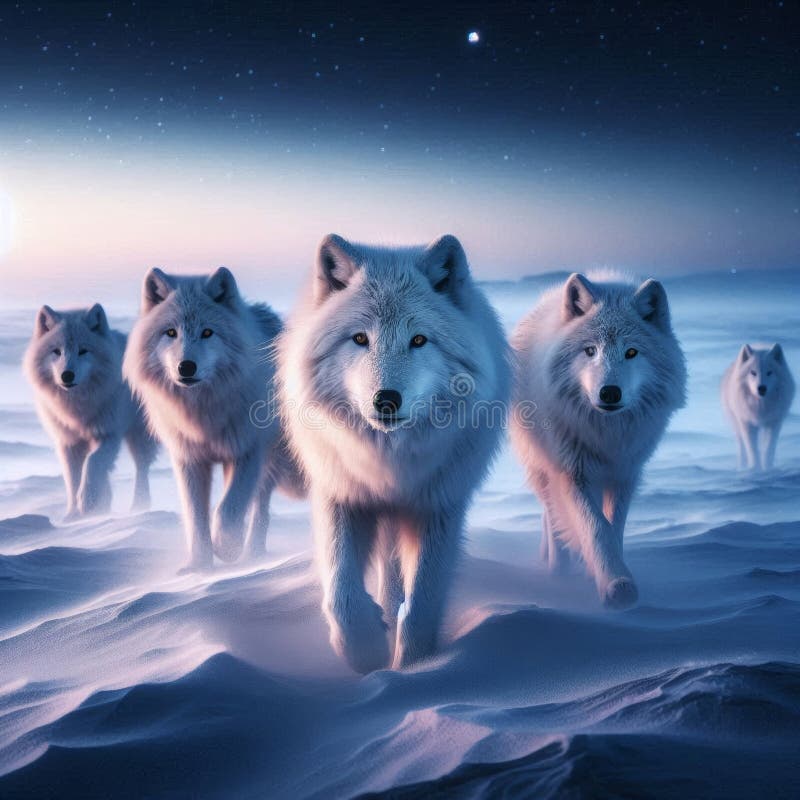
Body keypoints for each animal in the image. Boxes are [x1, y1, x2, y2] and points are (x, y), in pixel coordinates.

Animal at [23, 304, 158, 519]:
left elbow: (93, 463)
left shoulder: (108, 435)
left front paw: (86, 500)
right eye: (56, 351)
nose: (67, 375)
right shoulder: (68, 443)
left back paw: (139, 507)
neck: (78, 408)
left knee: (142, 468)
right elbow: (73, 479)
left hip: (140, 435)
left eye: (83, 351)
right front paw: (73, 515)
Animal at [123, 267, 304, 570]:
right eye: (170, 332)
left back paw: (252, 554)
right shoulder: (189, 459)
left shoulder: (247, 452)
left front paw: (227, 548)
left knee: (260, 507)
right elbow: (196, 516)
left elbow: (229, 508)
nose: (186, 367)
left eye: (207, 332)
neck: (203, 413)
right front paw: (199, 566)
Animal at [278, 233, 509, 673]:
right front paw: (366, 652)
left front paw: (413, 669)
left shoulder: (439, 505)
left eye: (418, 340)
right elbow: (341, 594)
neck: (390, 461)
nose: (385, 400)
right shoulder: (339, 492)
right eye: (360, 338)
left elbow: (423, 604)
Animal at [510, 272, 686, 609]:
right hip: (541, 467)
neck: (606, 433)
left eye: (631, 352)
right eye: (590, 351)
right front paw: (616, 585)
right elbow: (595, 530)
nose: (610, 393)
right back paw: (557, 568)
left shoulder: (625, 473)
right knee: (551, 514)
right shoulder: (572, 474)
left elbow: (613, 528)